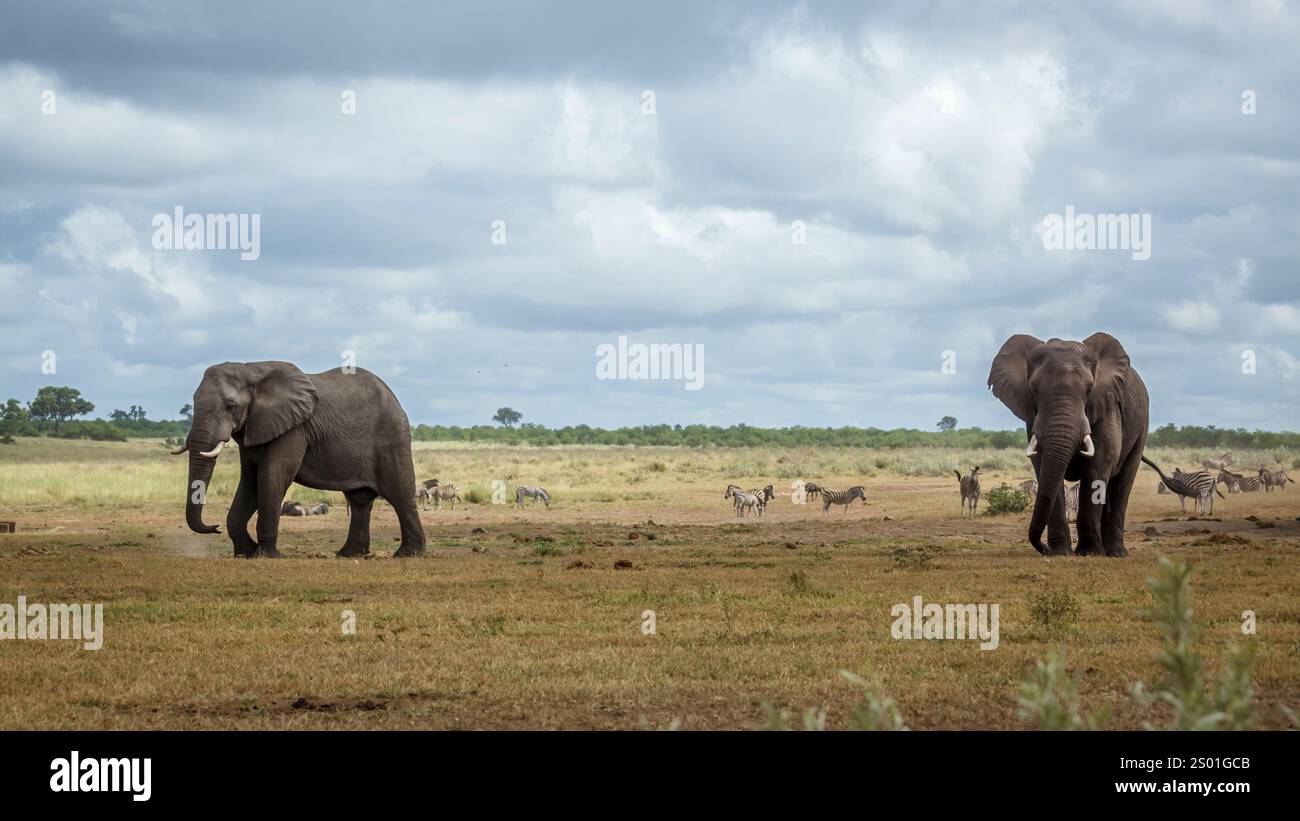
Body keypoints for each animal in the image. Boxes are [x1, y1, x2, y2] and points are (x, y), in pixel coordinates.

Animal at [172, 361, 425, 558]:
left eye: (230, 406)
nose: (214, 528)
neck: (251, 370)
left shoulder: (294, 429)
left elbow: (271, 477)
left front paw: (264, 555)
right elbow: (249, 482)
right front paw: (245, 553)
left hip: (391, 437)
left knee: (399, 494)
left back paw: (408, 554)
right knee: (360, 500)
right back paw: (348, 554)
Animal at [987, 333, 1149, 557]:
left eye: (1089, 389)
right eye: (1034, 389)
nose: (1043, 549)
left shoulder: (1106, 407)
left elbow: (1098, 466)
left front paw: (1089, 553)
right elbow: (1045, 467)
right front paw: (1060, 553)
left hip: (1141, 428)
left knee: (1122, 485)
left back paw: (1116, 553)